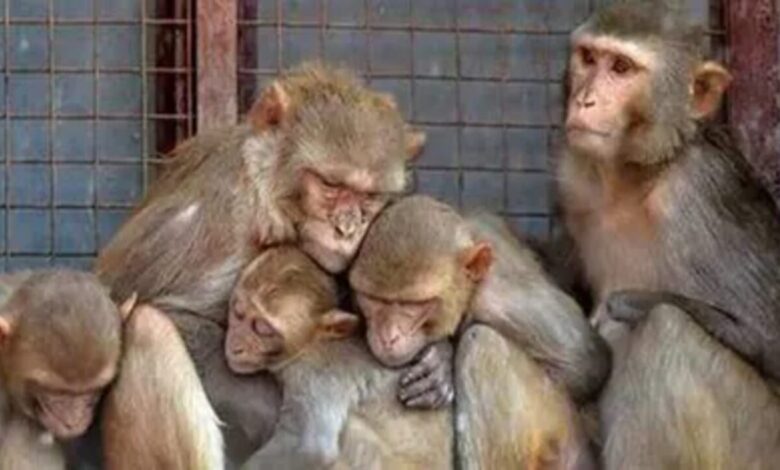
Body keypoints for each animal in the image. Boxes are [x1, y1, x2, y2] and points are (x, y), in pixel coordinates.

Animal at [227, 246, 452, 470]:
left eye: (262, 328)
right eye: (237, 311)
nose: (235, 346)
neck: (312, 344)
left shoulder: (314, 374)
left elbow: (312, 449)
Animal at [348, 195, 606, 469]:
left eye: (413, 305)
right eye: (373, 299)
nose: (388, 336)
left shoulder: (499, 298)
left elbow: (586, 365)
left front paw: (443, 360)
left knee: (481, 346)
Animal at [557, 1, 780, 467]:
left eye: (621, 68)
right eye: (589, 57)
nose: (584, 99)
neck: (643, 174)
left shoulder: (701, 192)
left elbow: (771, 342)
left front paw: (622, 306)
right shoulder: (575, 180)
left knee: (667, 328)